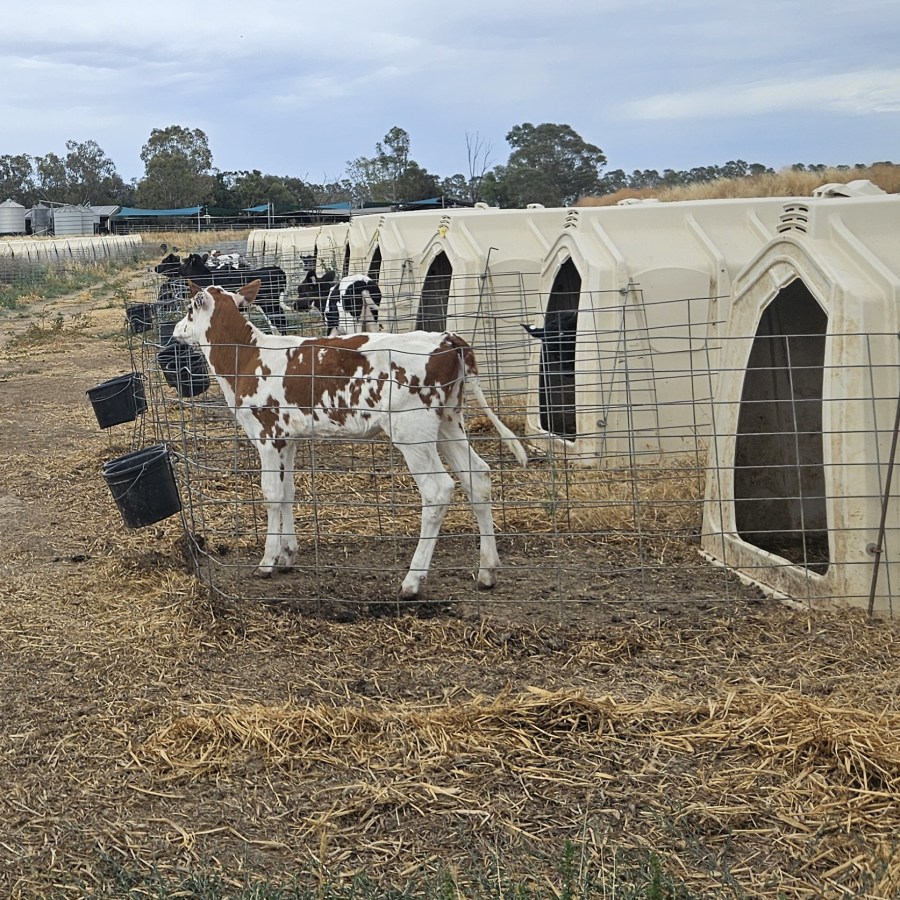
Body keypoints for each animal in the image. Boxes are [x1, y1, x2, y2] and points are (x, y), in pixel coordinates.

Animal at [173, 278, 528, 599]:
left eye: (189, 310)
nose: (176, 330)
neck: (247, 357)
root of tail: (446, 339)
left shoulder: (266, 433)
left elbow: (272, 494)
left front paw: (268, 561)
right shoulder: (289, 438)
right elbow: (288, 492)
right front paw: (288, 554)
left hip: (412, 430)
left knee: (438, 490)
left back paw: (412, 581)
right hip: (448, 423)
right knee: (478, 477)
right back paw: (487, 571)